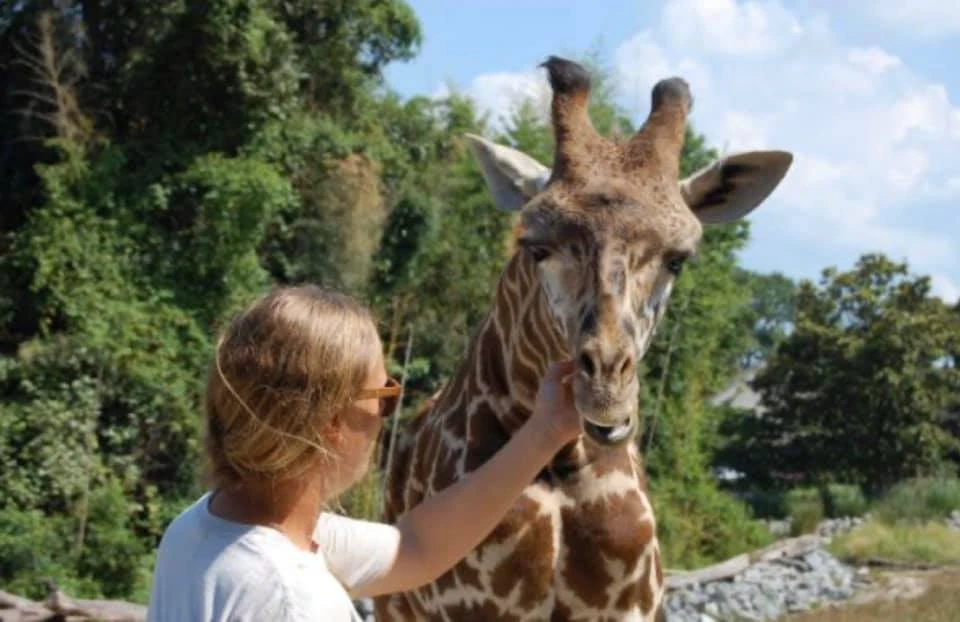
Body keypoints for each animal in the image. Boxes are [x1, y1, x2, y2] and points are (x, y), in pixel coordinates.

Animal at [373, 56, 793, 621]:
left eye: (678, 259)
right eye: (535, 246)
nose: (606, 394)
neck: (564, 466)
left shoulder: (631, 606)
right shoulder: (472, 608)